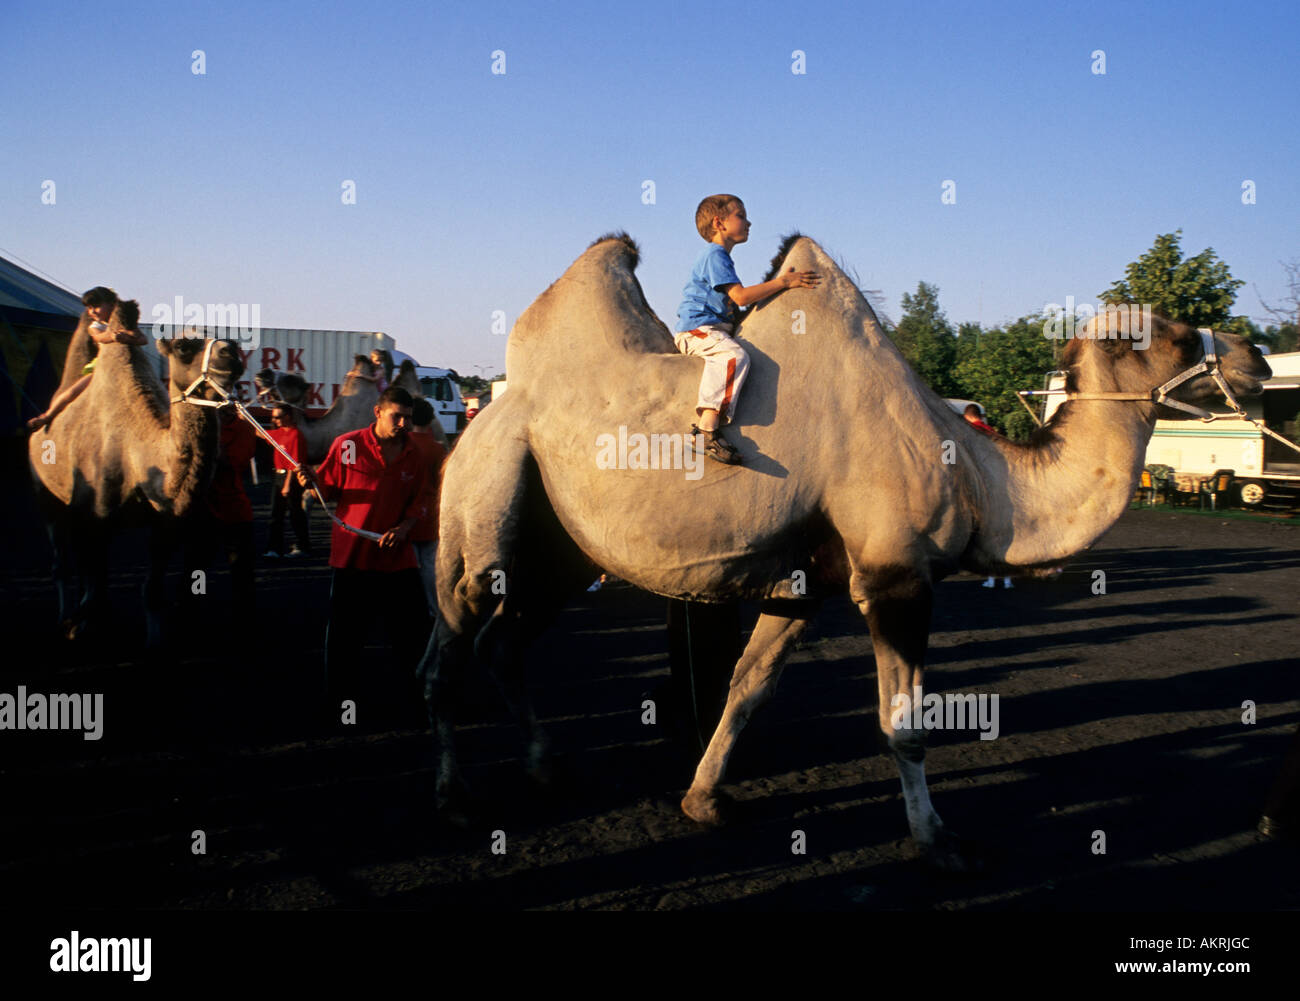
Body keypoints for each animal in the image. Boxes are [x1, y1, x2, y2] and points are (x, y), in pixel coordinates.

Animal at [28, 300, 245, 642]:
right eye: (183, 347)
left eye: (232, 341)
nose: (231, 354)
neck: (136, 457)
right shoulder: (97, 518)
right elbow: (97, 583)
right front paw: (80, 625)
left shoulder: (166, 525)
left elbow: (151, 594)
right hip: (45, 495)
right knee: (61, 562)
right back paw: (65, 616)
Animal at [420, 233, 1271, 869]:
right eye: (1168, 333)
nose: (1256, 356)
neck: (977, 472)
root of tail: (489, 410)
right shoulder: (896, 577)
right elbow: (906, 724)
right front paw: (937, 839)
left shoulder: (803, 583)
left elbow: (748, 685)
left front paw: (704, 798)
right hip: (484, 494)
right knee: (451, 644)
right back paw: (456, 799)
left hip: (559, 547)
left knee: (503, 641)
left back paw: (545, 765)